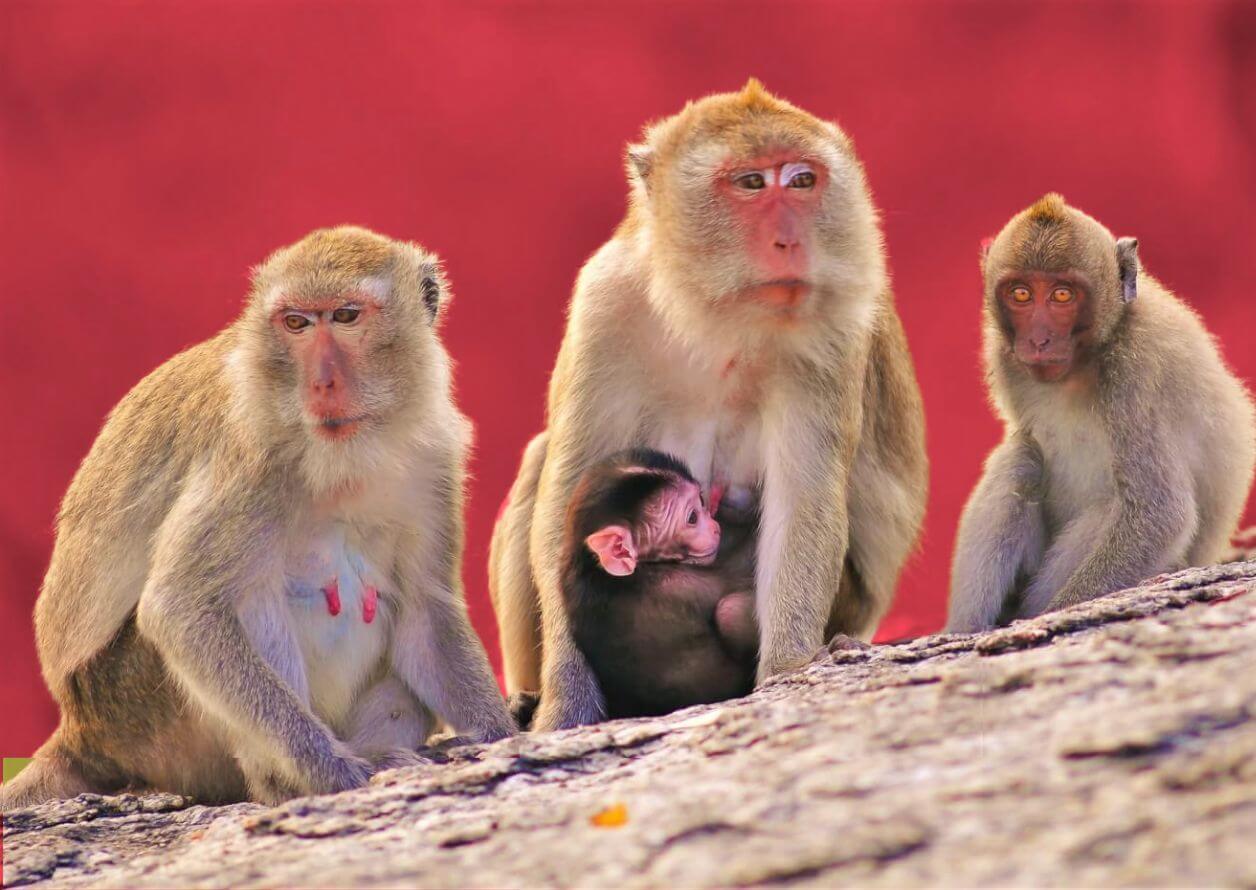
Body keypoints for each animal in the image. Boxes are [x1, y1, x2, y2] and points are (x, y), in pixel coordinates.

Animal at [1, 226, 513, 811]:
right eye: (295, 323)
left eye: (345, 316)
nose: (322, 383)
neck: (343, 455)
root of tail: (78, 730)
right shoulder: (247, 456)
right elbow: (182, 608)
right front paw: (333, 771)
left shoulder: (435, 459)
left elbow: (426, 609)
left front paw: (499, 735)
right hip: (137, 713)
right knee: (249, 594)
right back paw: (284, 784)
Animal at [489, 80, 928, 731]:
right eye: (750, 183)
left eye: (802, 180)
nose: (791, 240)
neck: (718, 315)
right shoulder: (605, 302)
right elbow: (568, 491)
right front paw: (566, 704)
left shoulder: (837, 326)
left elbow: (804, 498)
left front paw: (788, 668)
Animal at [946, 194, 1256, 633]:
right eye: (1021, 294)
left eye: (1062, 296)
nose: (1038, 339)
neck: (1087, 359)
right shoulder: (1005, 359)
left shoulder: (1137, 370)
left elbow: (1160, 512)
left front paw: (1056, 615)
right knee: (1020, 462)